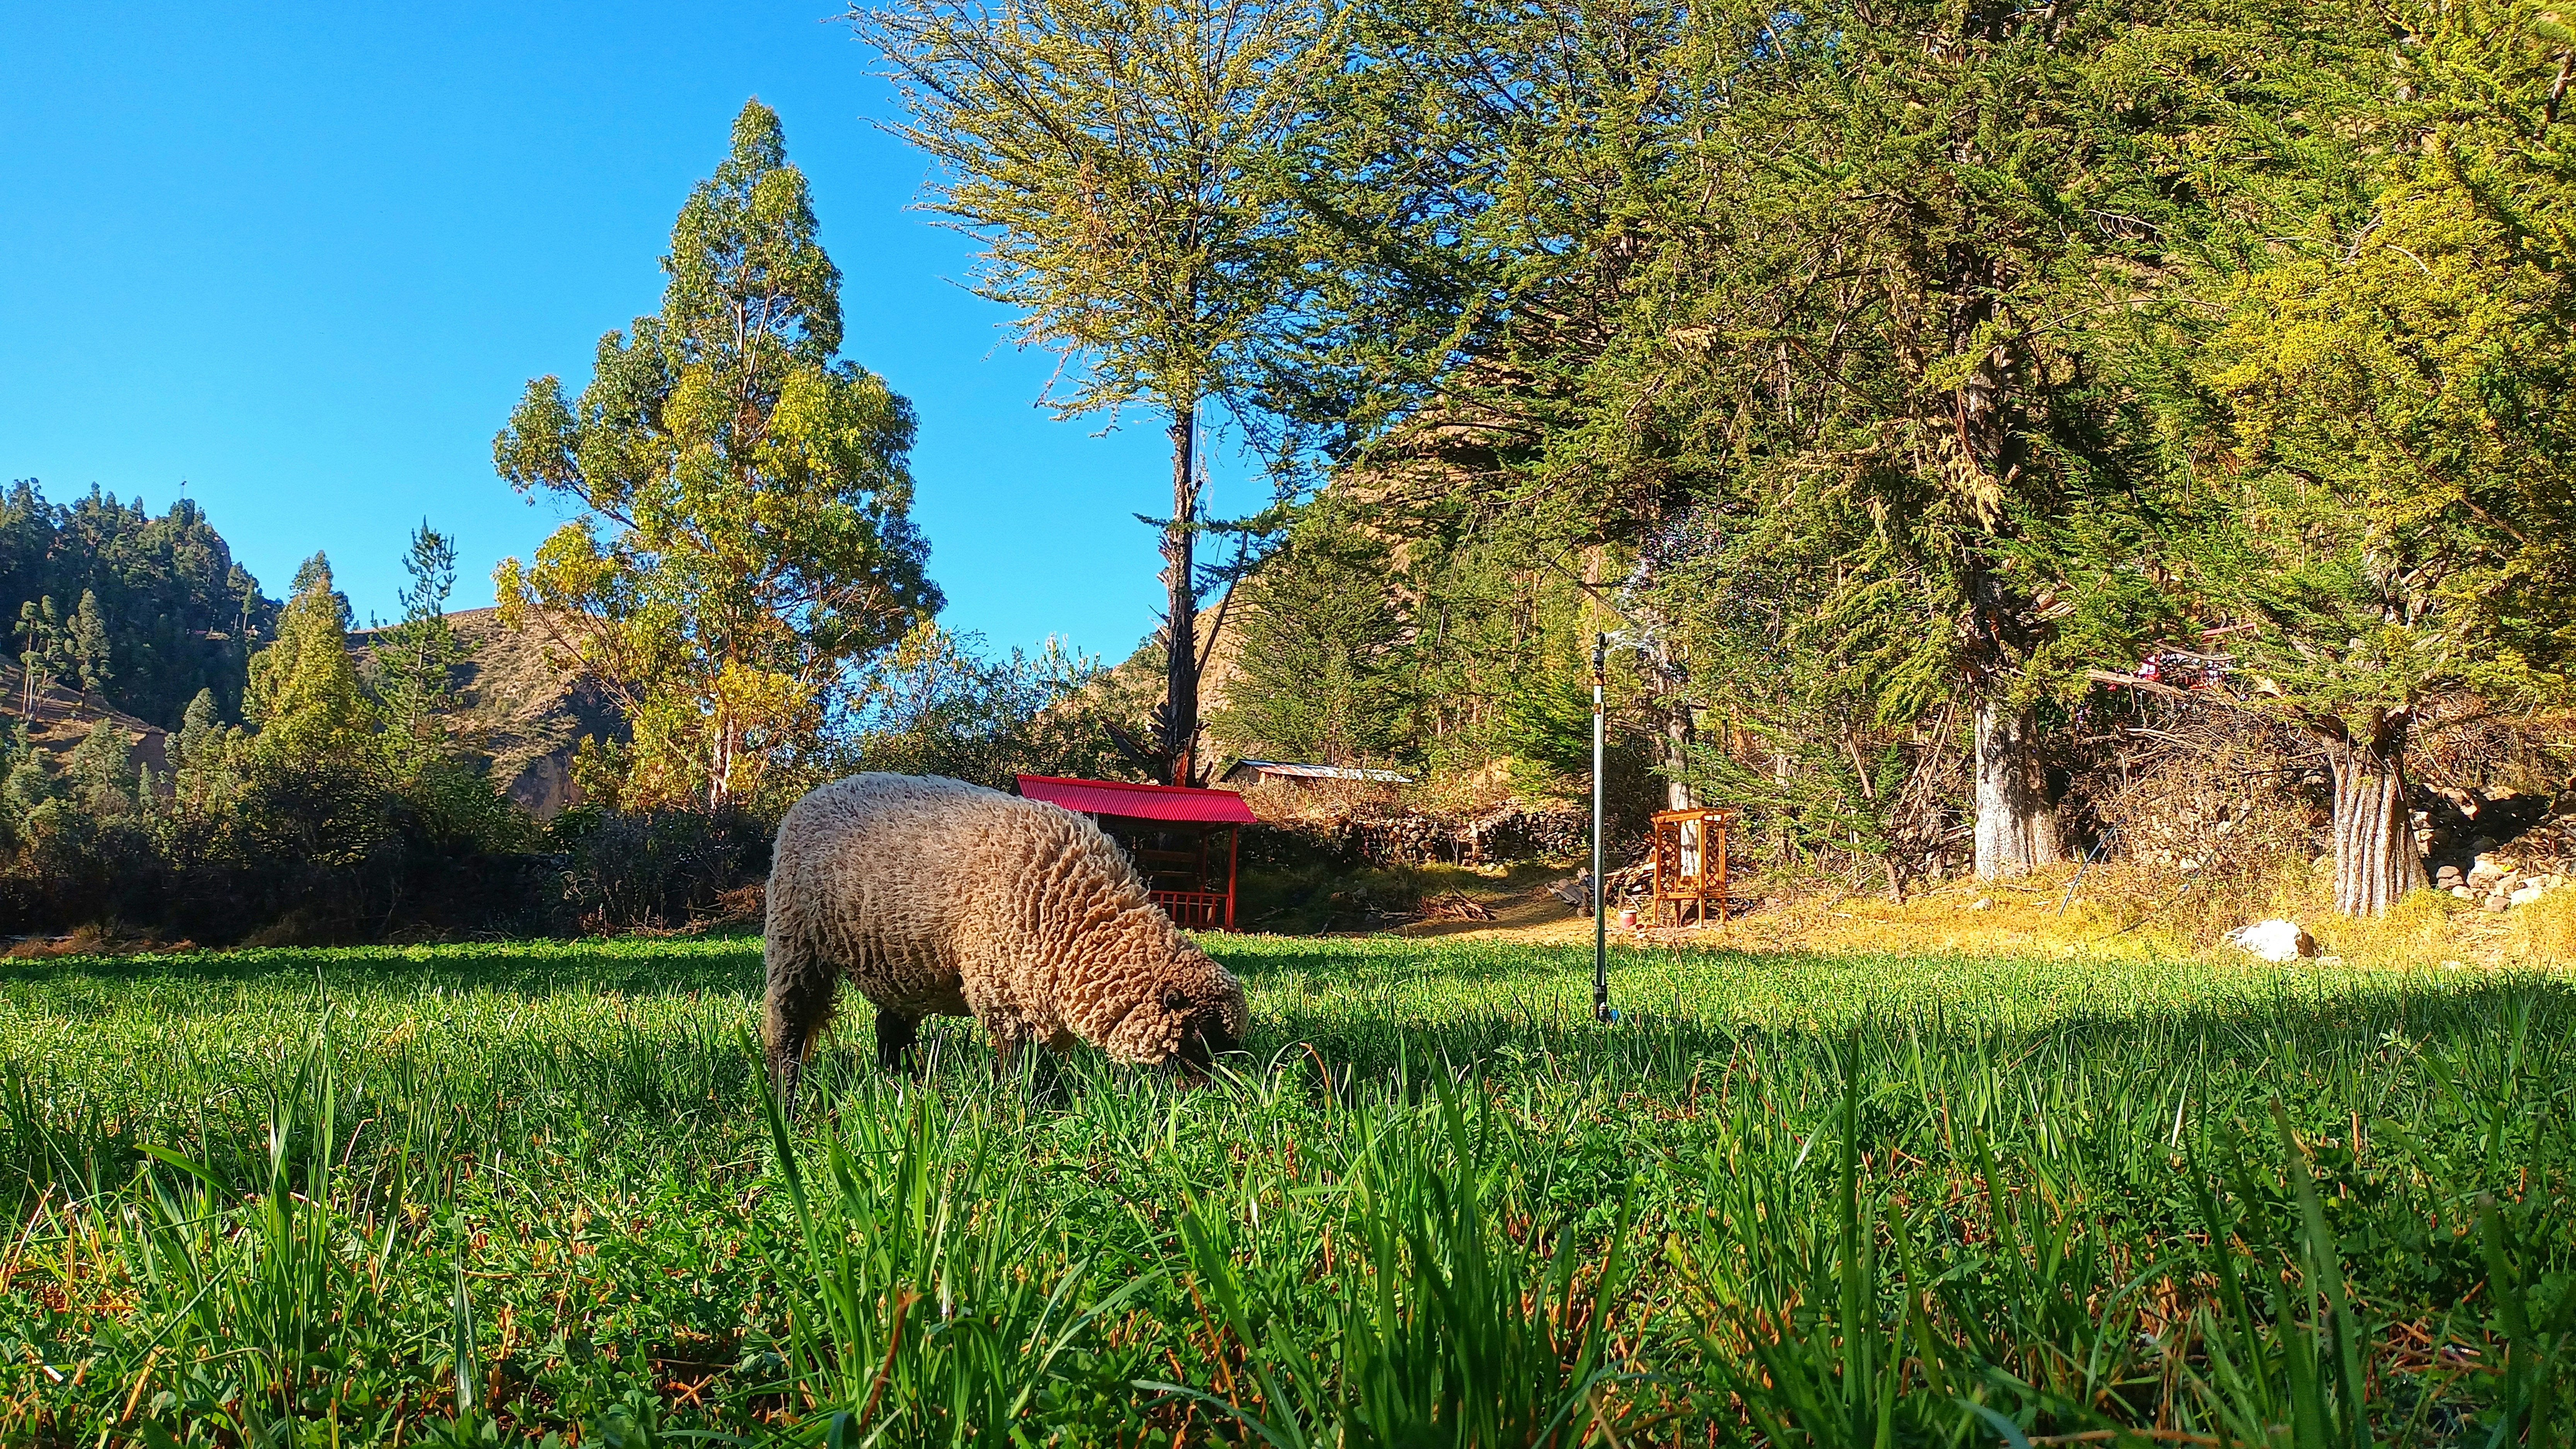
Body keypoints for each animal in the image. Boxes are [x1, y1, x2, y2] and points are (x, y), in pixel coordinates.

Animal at [762, 772, 1249, 1105]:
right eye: (1201, 1038)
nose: (1218, 1095)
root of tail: (812, 797)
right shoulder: (999, 989)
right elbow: (1012, 1061)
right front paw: (1018, 1104)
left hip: (902, 962)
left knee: (890, 1028)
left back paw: (902, 1083)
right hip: (794, 942)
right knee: (787, 1026)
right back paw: (786, 1097)